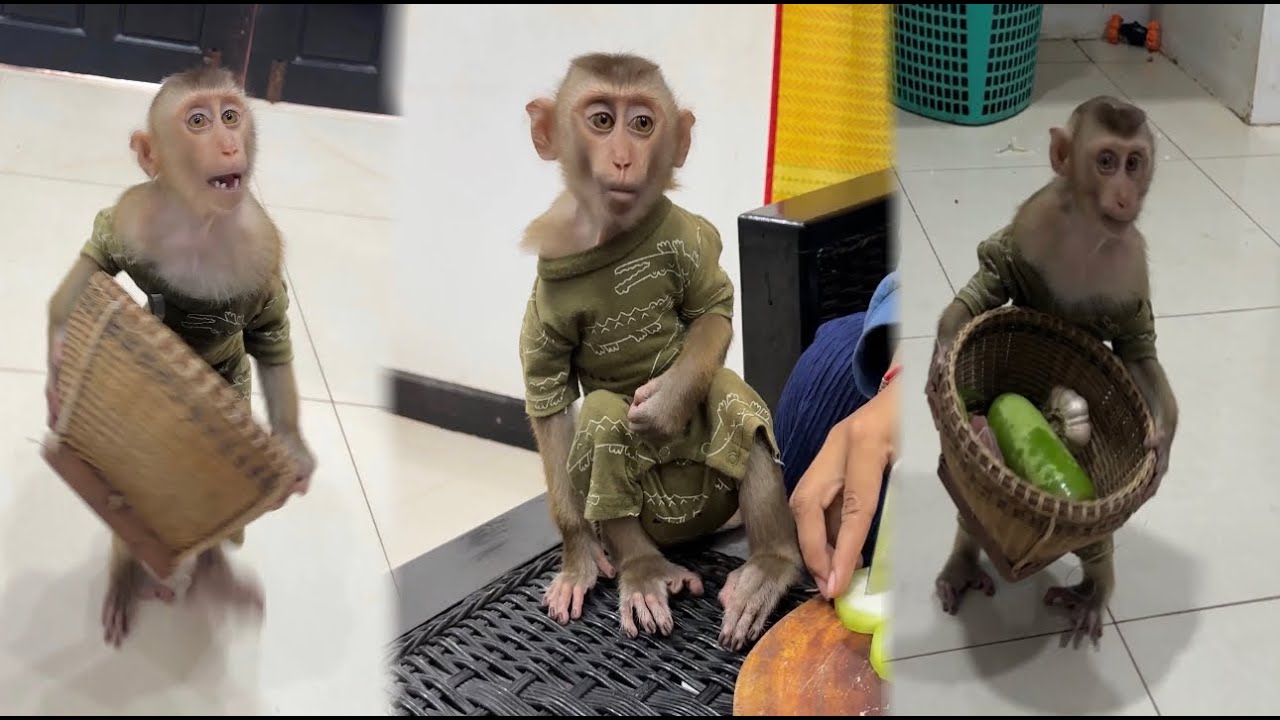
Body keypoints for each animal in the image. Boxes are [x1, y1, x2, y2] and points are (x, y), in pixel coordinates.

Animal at [44, 65, 317, 647]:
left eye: (230, 115)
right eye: (198, 122)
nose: (229, 143)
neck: (201, 223)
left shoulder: (259, 243)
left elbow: (270, 331)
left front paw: (292, 447)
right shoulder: (132, 216)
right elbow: (90, 267)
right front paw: (56, 376)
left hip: (234, 381)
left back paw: (213, 574)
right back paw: (127, 567)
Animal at [517, 53, 803, 650]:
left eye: (643, 123)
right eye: (602, 121)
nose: (624, 158)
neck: (611, 236)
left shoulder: (690, 234)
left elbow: (712, 310)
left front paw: (665, 407)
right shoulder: (544, 294)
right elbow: (548, 399)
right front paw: (579, 555)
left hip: (712, 500)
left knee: (732, 399)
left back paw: (769, 564)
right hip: (653, 520)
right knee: (600, 421)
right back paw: (643, 571)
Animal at [929, 95, 1177, 646]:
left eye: (1135, 162)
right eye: (1106, 161)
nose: (1125, 195)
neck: (1089, 229)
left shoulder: (1131, 260)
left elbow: (1137, 346)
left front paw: (1165, 438)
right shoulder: (1035, 221)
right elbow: (993, 274)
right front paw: (946, 344)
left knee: (1095, 540)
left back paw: (1096, 589)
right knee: (969, 505)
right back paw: (964, 559)